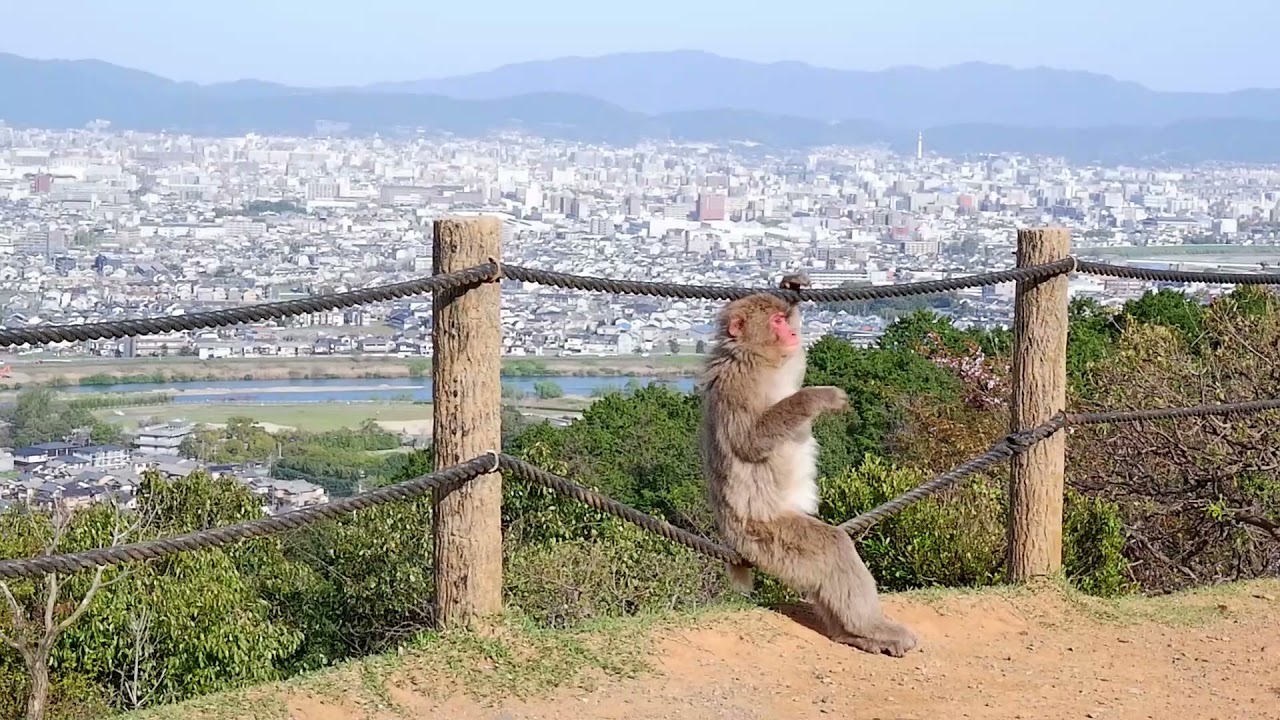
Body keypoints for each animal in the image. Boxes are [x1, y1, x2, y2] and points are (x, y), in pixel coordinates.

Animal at [697, 272, 919, 658]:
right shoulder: (739, 387)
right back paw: (870, 627)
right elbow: (749, 441)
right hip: (766, 537)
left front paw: (793, 288)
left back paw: (852, 635)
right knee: (832, 549)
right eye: (775, 322)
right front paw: (816, 398)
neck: (752, 358)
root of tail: (730, 536)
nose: (788, 329)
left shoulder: (781, 362)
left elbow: (797, 361)